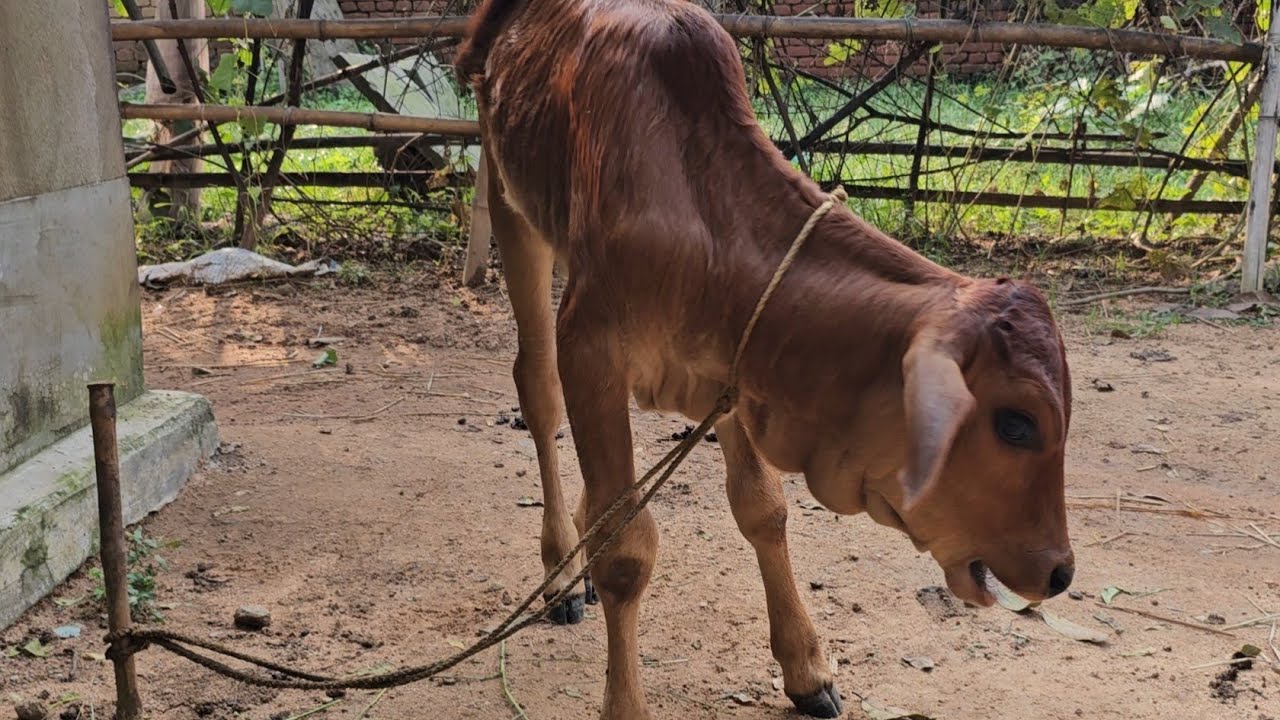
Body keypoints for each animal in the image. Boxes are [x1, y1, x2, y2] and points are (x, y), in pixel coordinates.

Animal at [455, 1, 1075, 717]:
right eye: (1017, 424)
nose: (1060, 571)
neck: (698, 211)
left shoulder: (732, 367)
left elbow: (763, 510)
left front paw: (806, 668)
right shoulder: (590, 348)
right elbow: (627, 554)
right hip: (511, 204)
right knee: (538, 388)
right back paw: (560, 570)